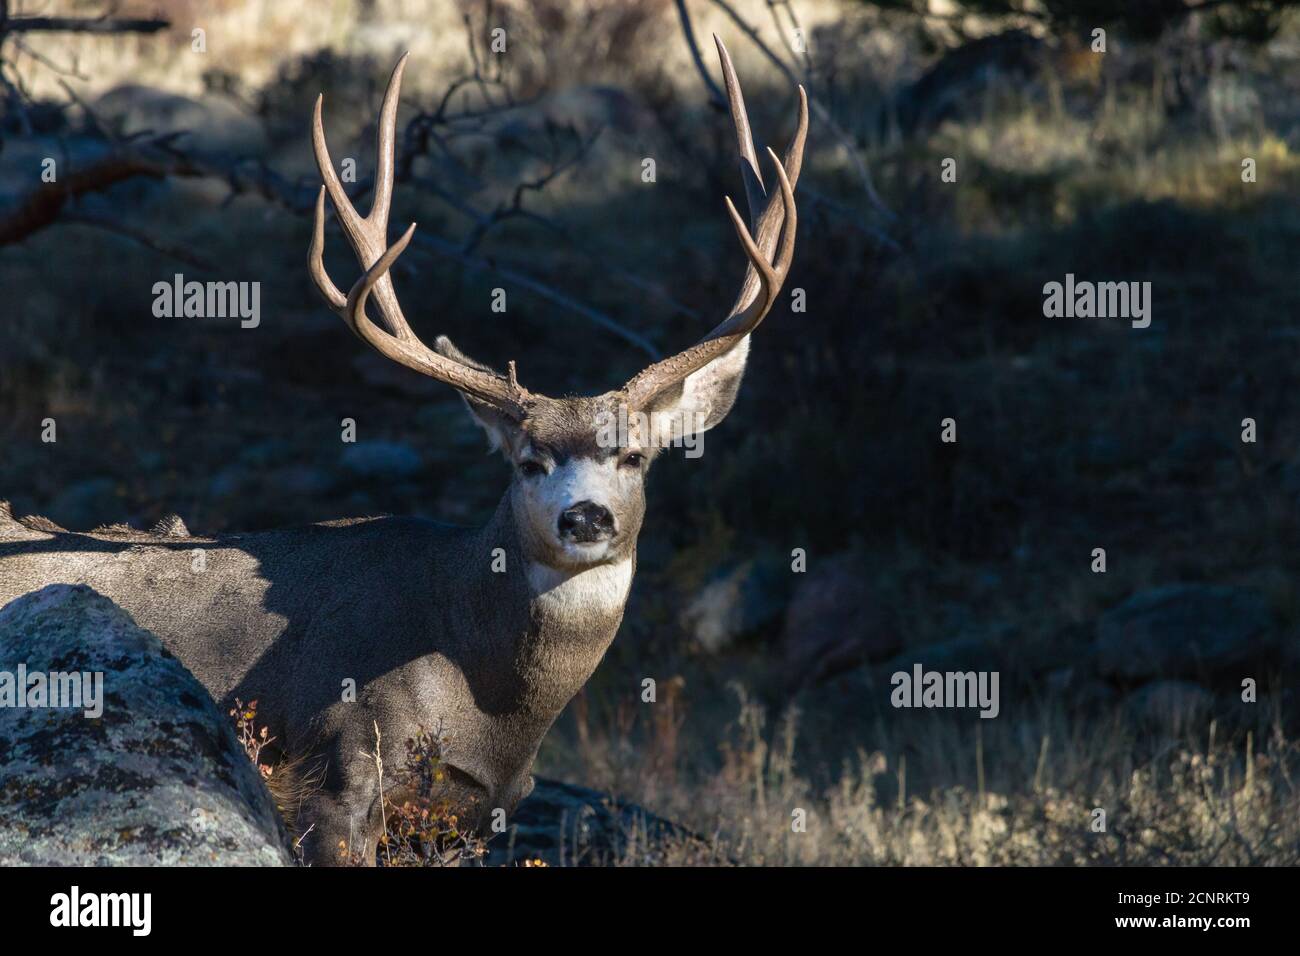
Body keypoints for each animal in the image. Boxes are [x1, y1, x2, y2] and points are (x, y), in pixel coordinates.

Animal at [0, 38, 806, 865]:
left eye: (635, 458)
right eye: (527, 461)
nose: (585, 519)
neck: (486, 696)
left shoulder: (481, 815)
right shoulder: (340, 767)